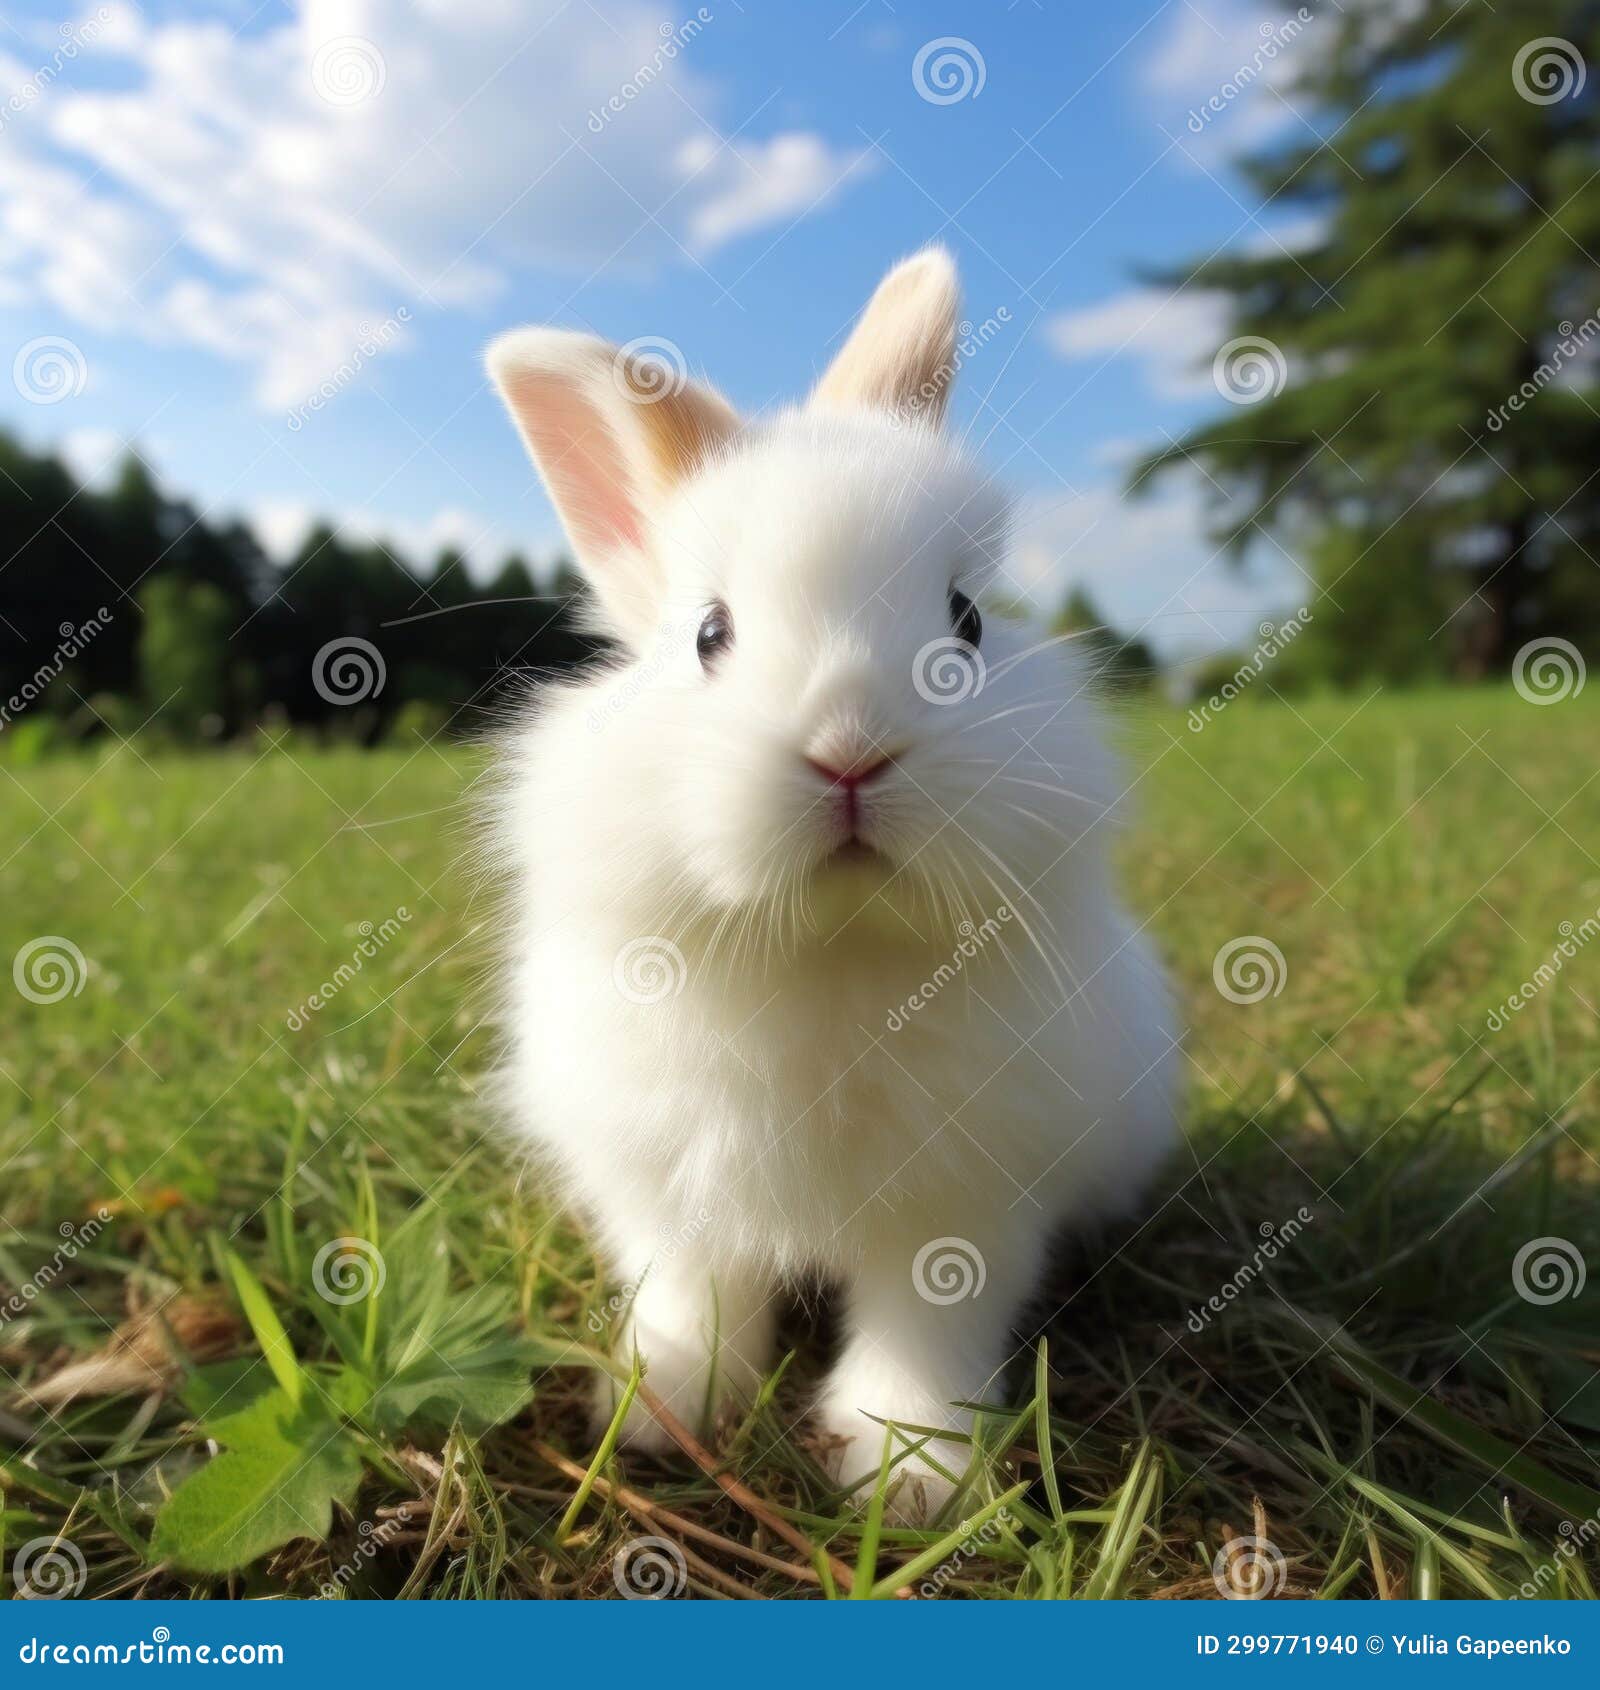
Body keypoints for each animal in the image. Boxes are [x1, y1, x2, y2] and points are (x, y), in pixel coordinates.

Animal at [483, 248, 1180, 1523]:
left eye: (965, 621)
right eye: (708, 634)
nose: (851, 750)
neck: (827, 946)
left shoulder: (963, 1206)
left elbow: (924, 1329)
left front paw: (910, 1480)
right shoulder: (671, 1191)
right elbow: (692, 1301)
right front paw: (660, 1418)